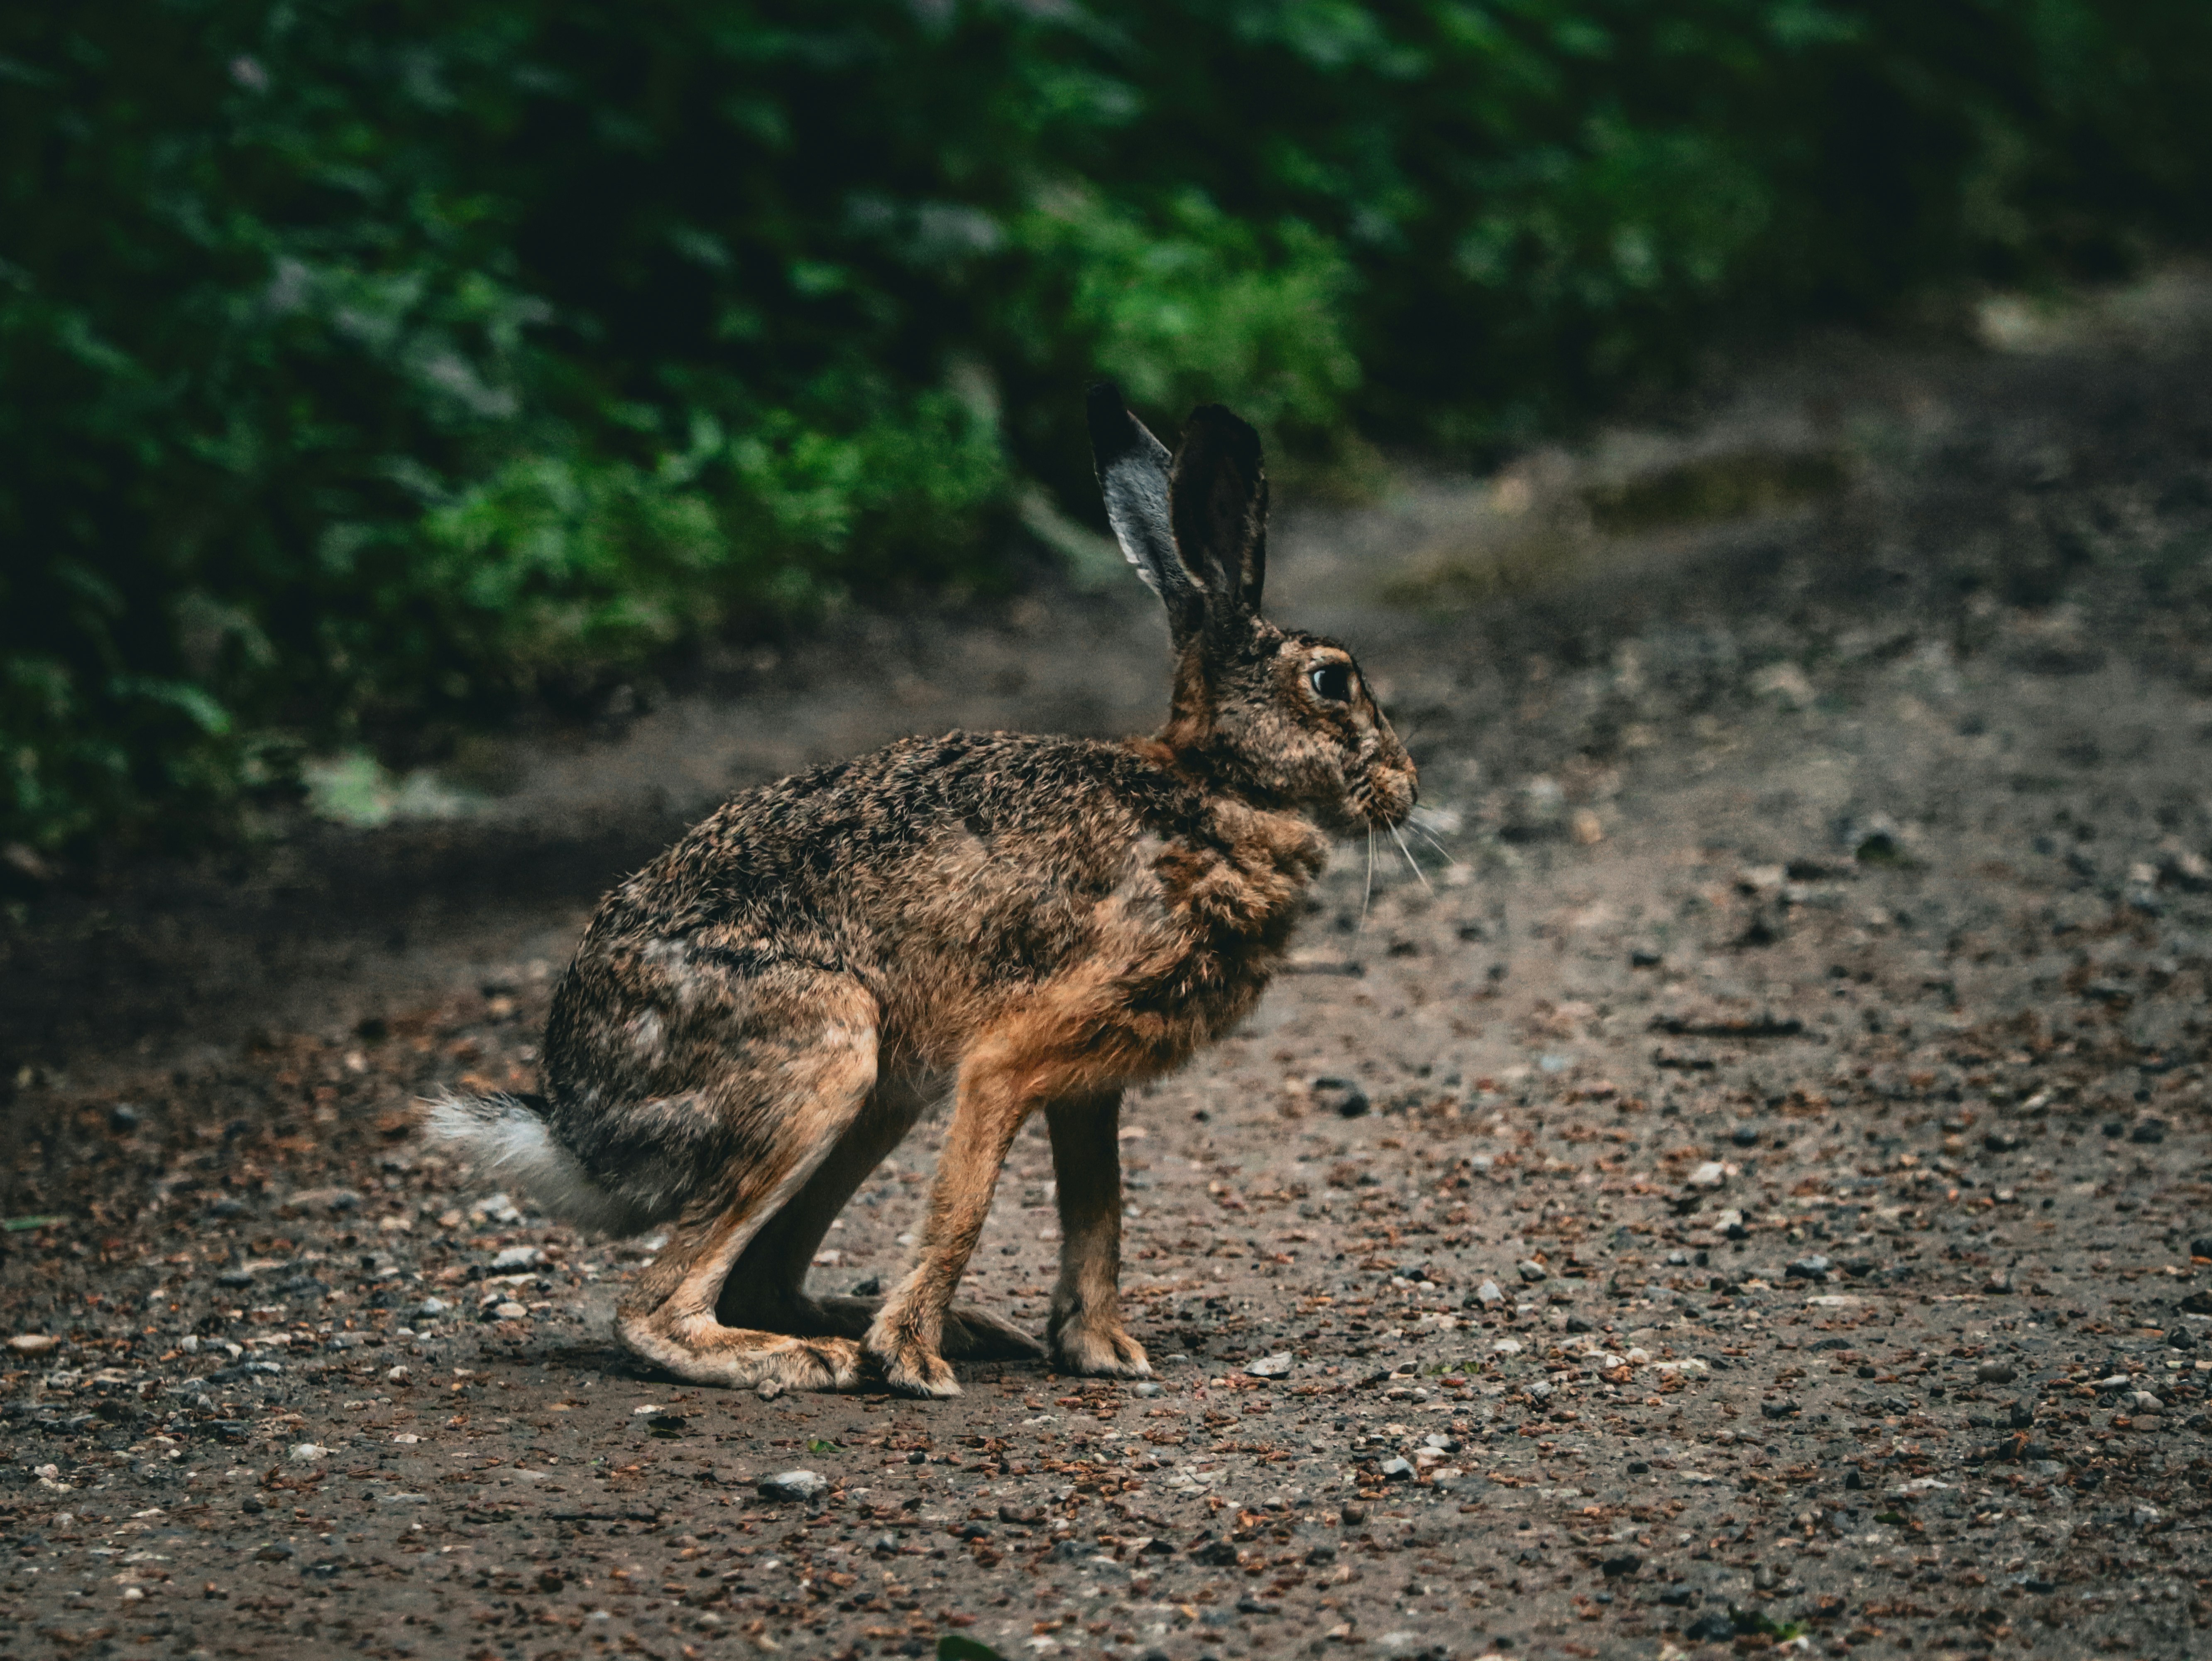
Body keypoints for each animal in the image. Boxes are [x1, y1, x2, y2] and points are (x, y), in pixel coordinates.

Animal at [428, 385, 1416, 1397]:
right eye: (1332, 682)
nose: (1406, 787)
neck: (1216, 791)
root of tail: (579, 1121)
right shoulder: (1013, 1058)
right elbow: (965, 1206)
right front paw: (912, 1359)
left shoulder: (1090, 1084)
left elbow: (1099, 1215)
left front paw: (1099, 1349)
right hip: (821, 1060)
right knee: (654, 1308)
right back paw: (817, 1358)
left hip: (876, 1099)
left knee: (761, 1279)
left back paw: (928, 1332)